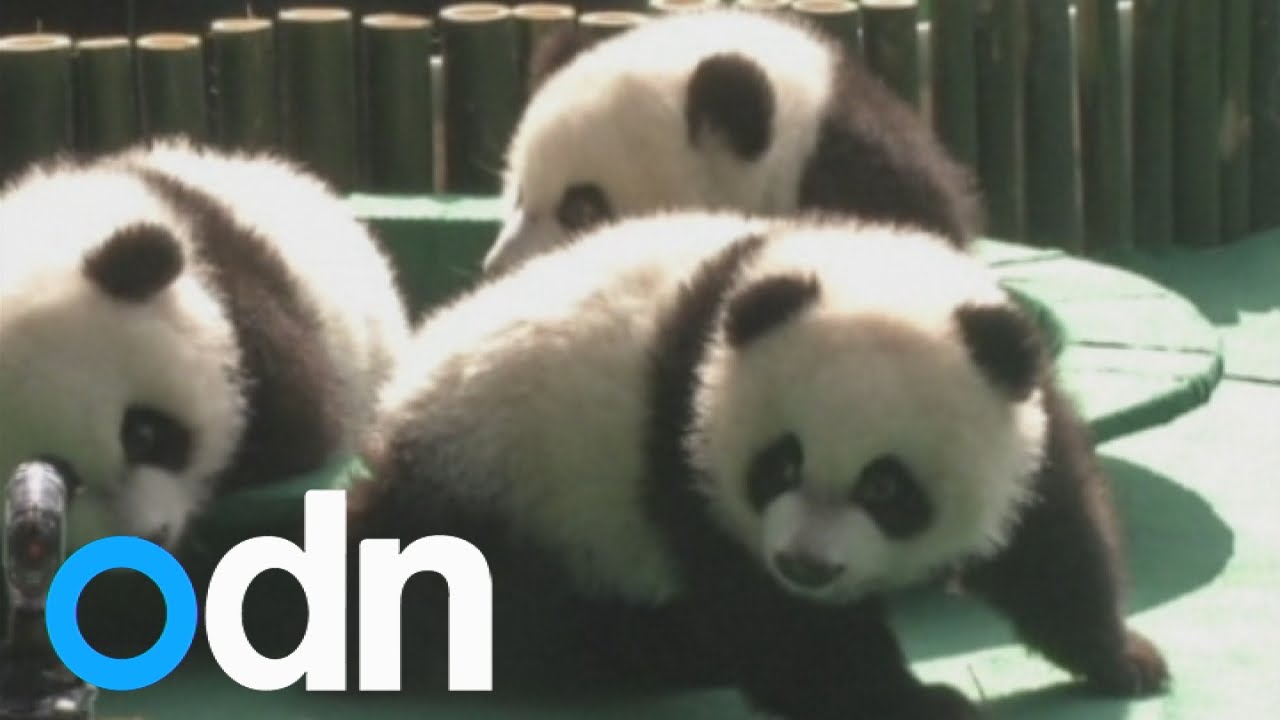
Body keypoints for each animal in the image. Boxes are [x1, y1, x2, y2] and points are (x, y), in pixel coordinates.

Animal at [350, 213, 1168, 719]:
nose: (806, 566)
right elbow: (778, 621)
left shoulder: (1017, 403)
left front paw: (1122, 658)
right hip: (497, 483)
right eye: (780, 465)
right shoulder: (684, 437)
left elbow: (1051, 537)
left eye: (887, 486)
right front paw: (917, 701)